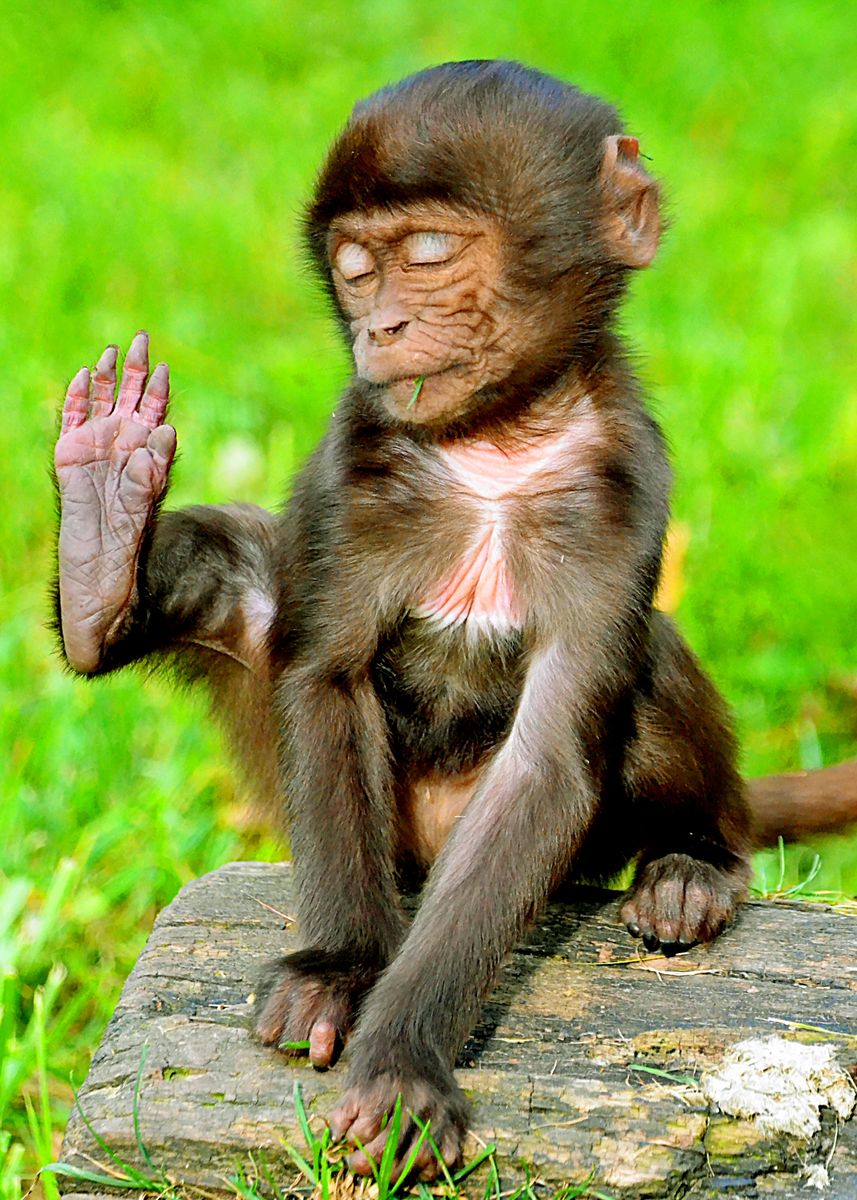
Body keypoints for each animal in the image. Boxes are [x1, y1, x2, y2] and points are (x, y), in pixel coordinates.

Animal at [53, 61, 857, 1180]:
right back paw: (101, 562)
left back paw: (695, 861)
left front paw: (401, 1063)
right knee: (256, 588)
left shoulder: (628, 487)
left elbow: (548, 761)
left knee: (647, 665)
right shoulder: (357, 454)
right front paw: (340, 968)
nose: (379, 329)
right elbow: (323, 676)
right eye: (354, 268)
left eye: (429, 254)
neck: (493, 444)